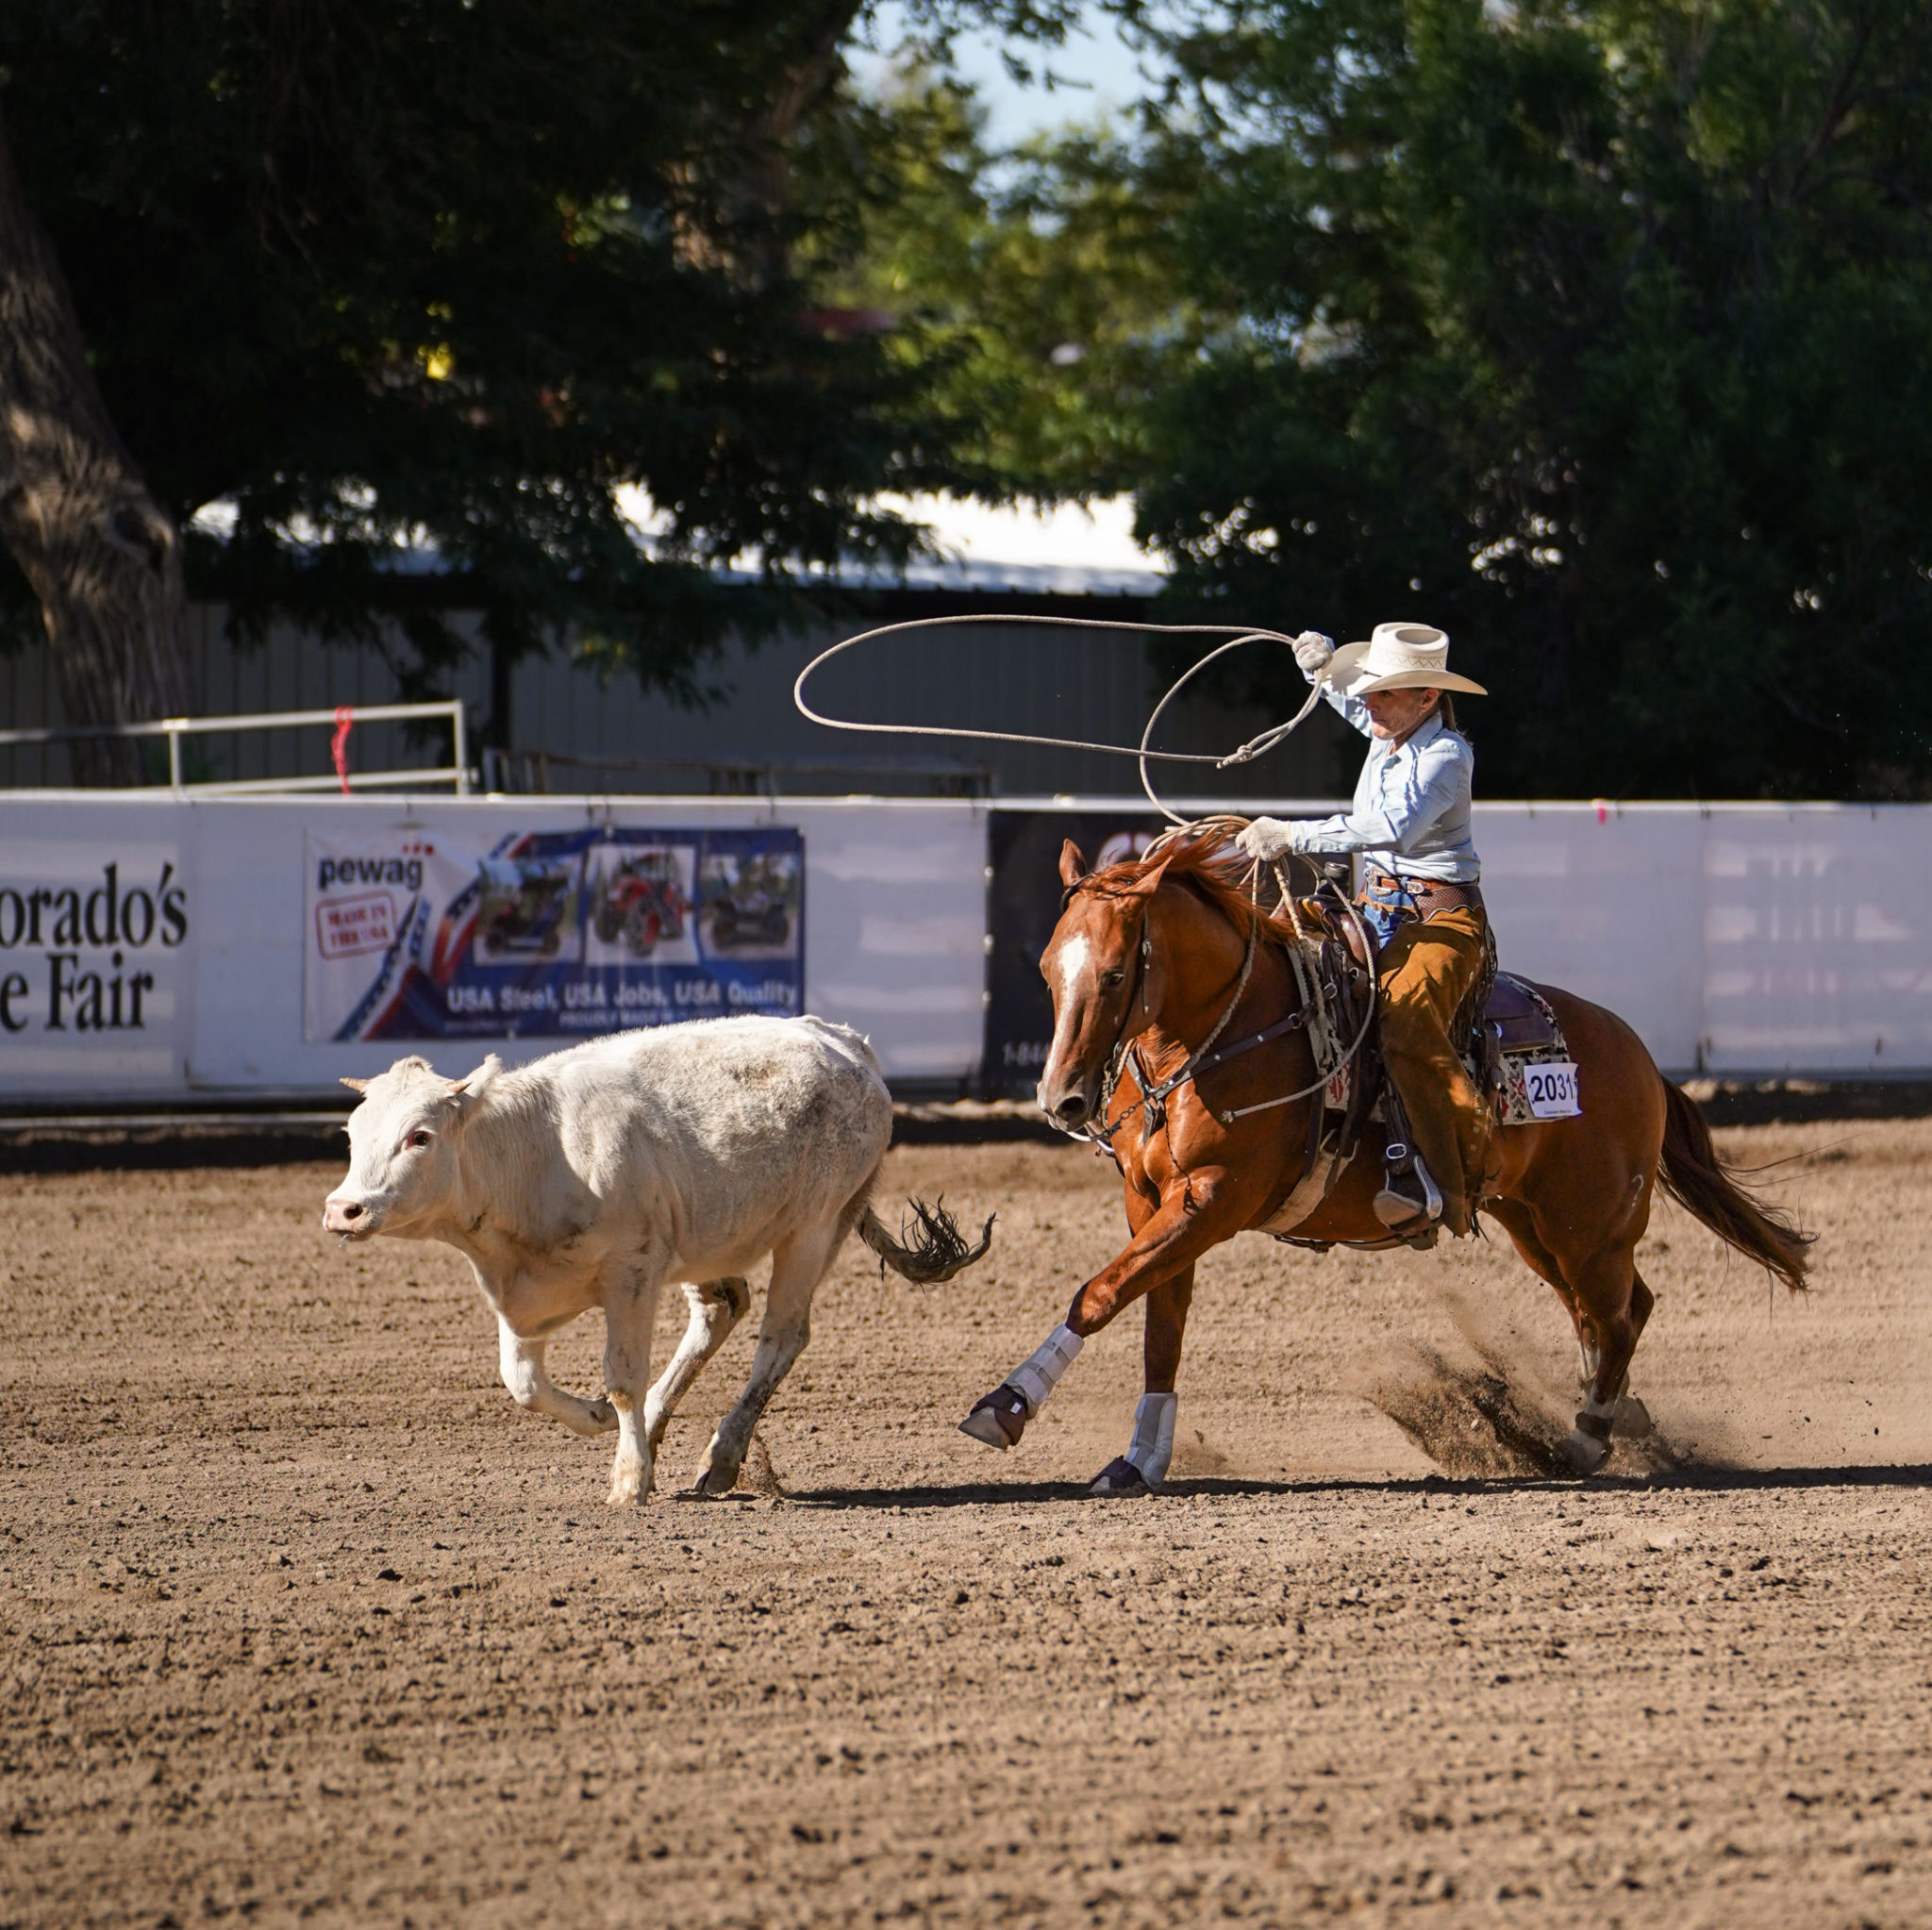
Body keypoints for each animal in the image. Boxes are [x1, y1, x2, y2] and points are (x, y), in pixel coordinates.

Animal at [957, 830, 1812, 1493]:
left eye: (1111, 973)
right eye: (1046, 967)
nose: (1060, 1099)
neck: (1223, 1035)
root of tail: (1638, 1053)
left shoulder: (1214, 1200)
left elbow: (1100, 1294)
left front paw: (1005, 1406)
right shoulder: (1151, 1199)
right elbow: (1156, 1326)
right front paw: (1138, 1460)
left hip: (1590, 1225)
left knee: (1621, 1311)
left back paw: (1585, 1436)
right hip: (1535, 1223)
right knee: (1601, 1312)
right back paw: (1607, 1416)